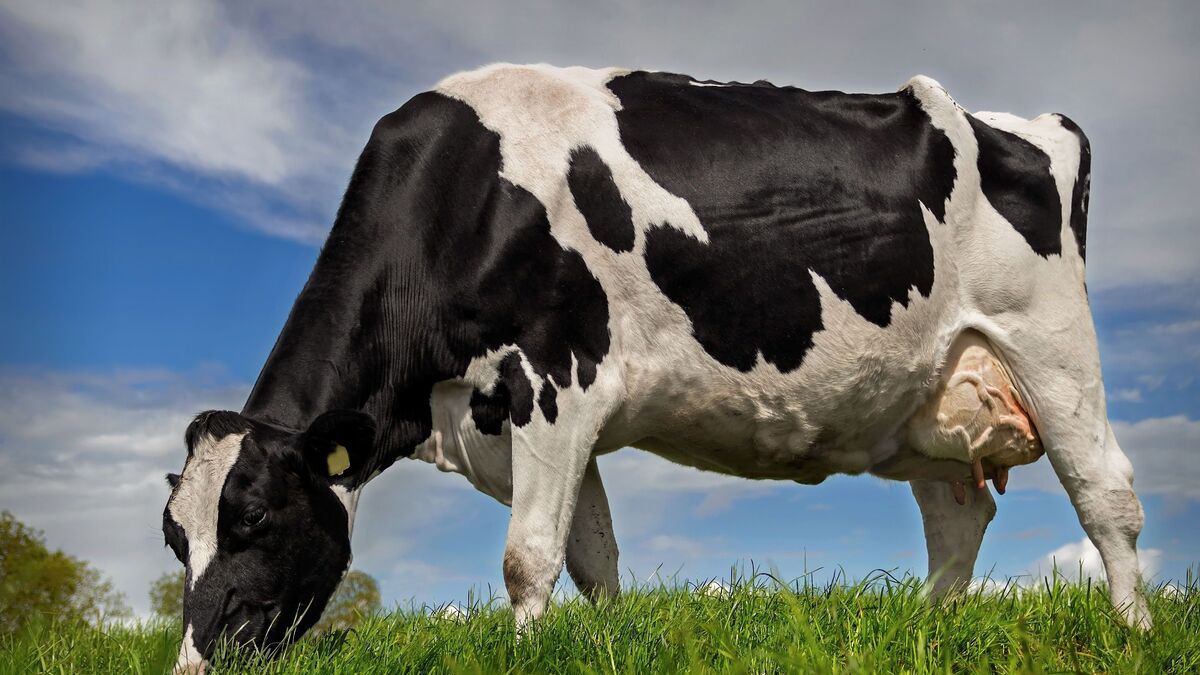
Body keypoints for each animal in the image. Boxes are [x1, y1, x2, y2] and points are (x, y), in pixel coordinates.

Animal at [163, 64, 1150, 672]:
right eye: (176, 538)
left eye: (254, 517)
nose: (195, 662)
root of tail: (1031, 123)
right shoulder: (524, 417)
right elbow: (591, 557)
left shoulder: (553, 375)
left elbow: (528, 557)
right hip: (928, 397)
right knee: (960, 515)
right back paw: (926, 635)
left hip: (1049, 342)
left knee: (1106, 492)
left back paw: (1133, 630)